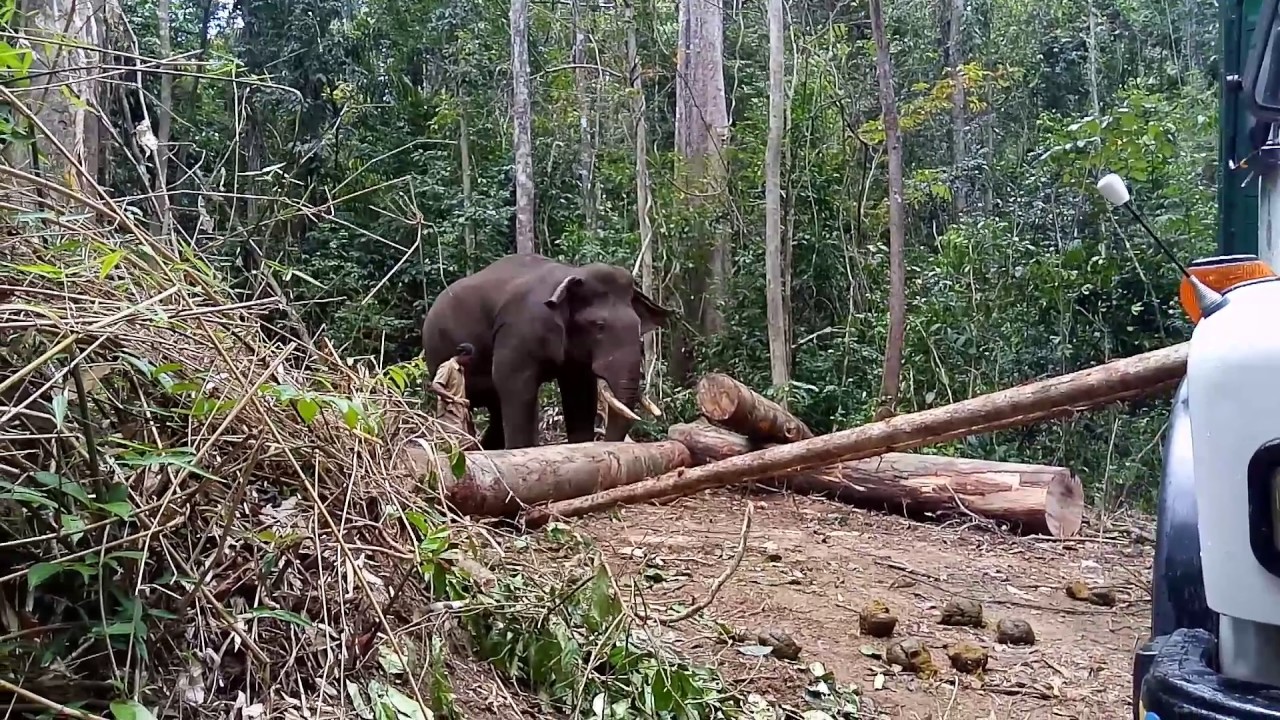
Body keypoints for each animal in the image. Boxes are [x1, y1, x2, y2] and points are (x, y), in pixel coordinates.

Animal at [421, 254, 671, 450]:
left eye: (639, 326)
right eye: (599, 326)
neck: (570, 272)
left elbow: (579, 393)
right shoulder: (517, 331)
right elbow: (514, 385)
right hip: (437, 352)